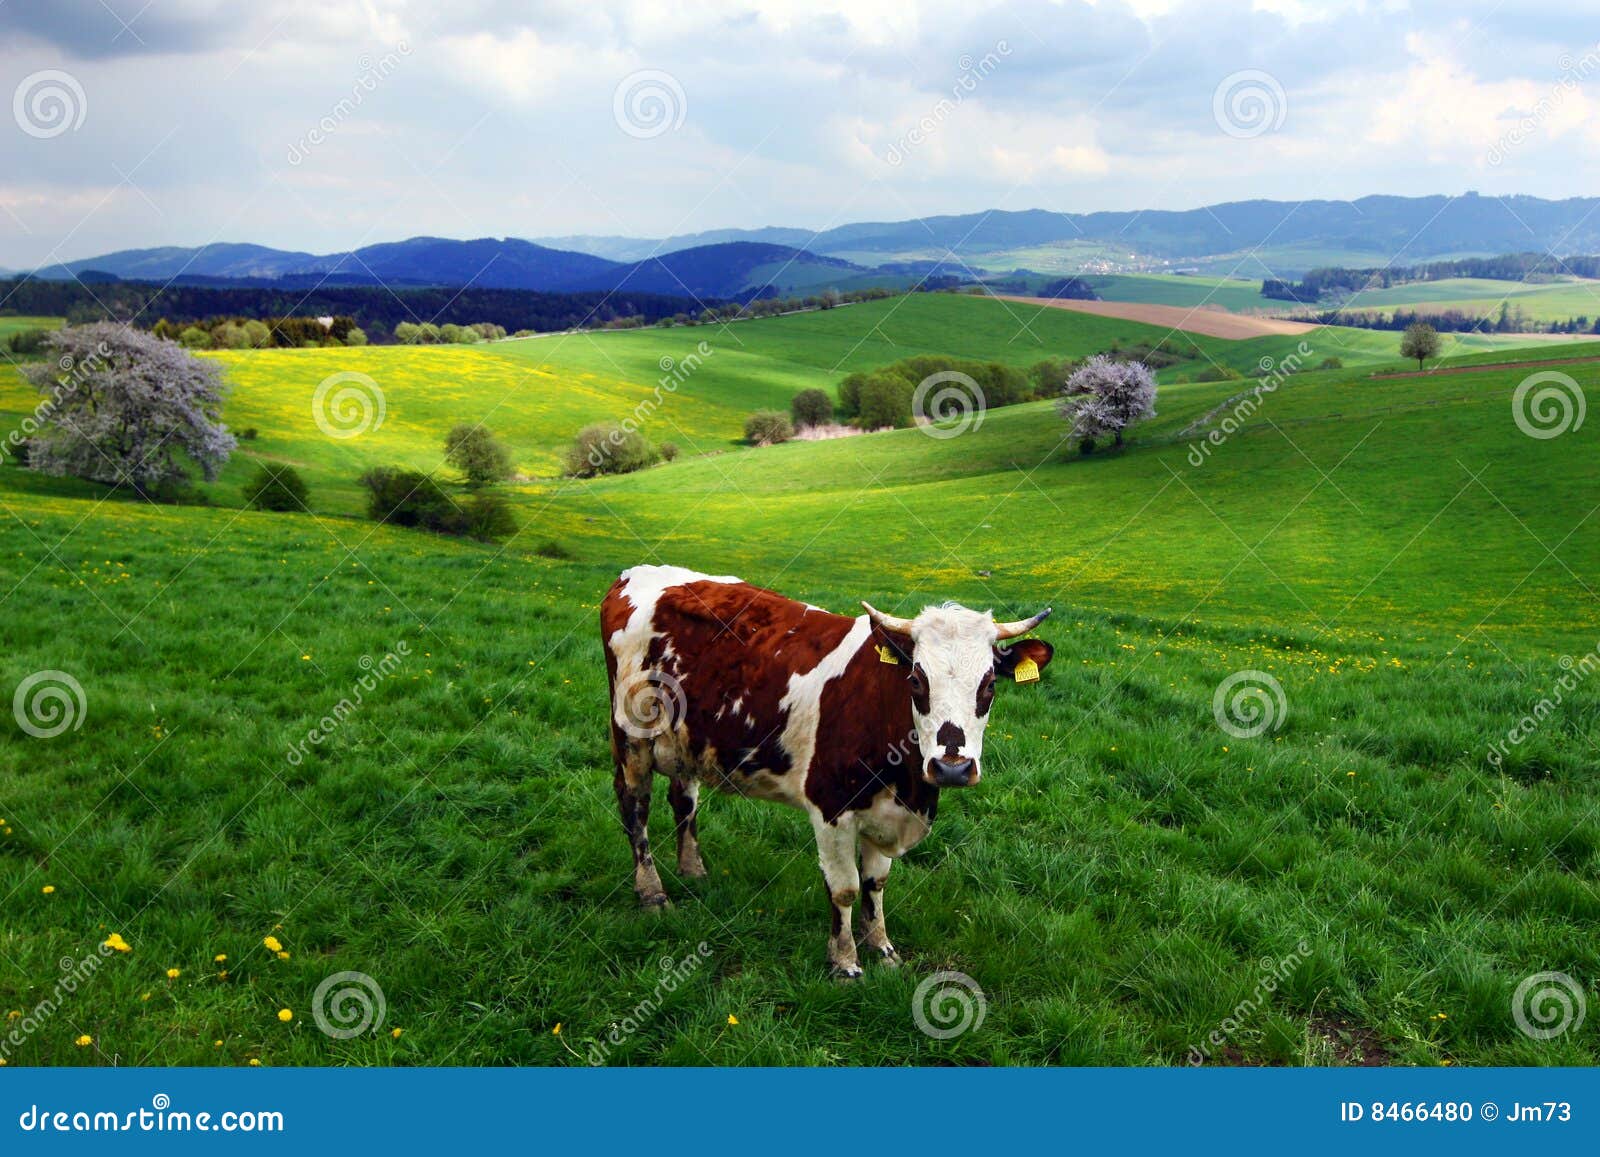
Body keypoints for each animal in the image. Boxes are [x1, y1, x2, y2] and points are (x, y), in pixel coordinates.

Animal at [600, 564, 1053, 978]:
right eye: (916, 680)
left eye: (990, 684)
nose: (952, 768)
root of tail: (637, 573)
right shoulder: (831, 807)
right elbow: (846, 889)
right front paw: (845, 962)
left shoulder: (884, 810)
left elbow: (876, 883)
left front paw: (882, 948)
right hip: (631, 737)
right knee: (635, 807)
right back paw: (652, 893)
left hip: (687, 740)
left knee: (683, 800)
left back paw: (694, 871)